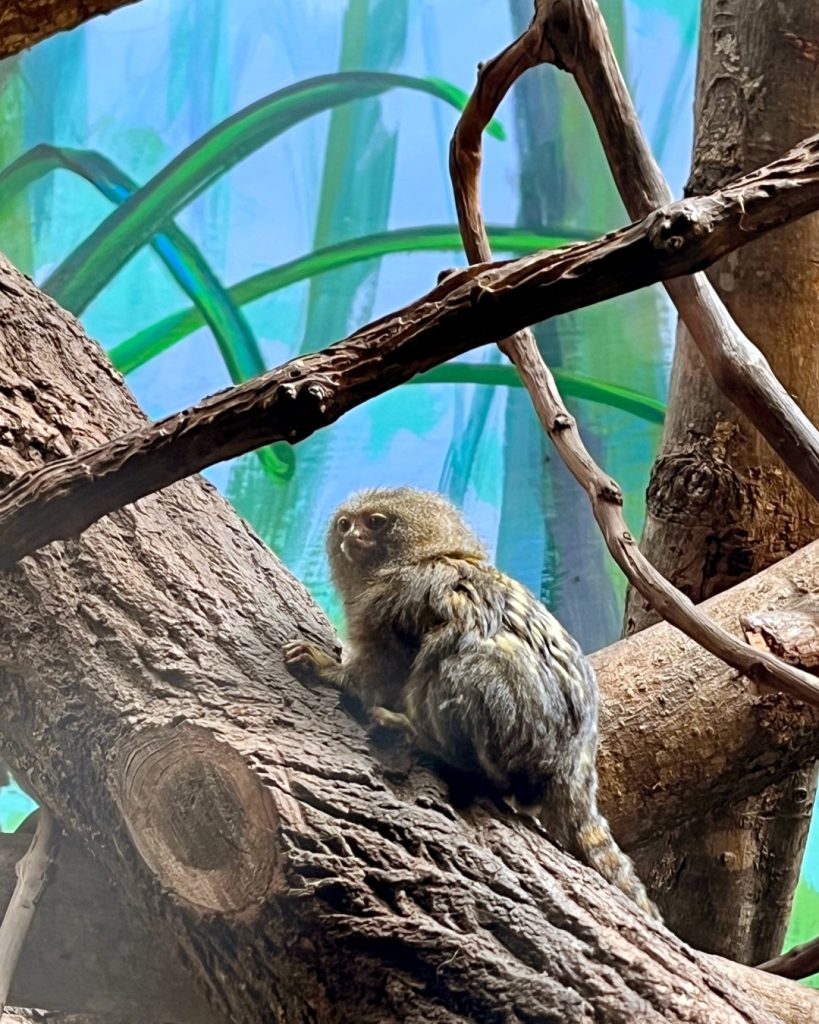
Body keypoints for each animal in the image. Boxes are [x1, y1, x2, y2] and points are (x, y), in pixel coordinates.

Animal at [283, 486, 659, 918]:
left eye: (375, 523)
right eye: (344, 524)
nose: (351, 537)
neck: (422, 556)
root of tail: (573, 766)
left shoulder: (391, 601)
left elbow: (380, 668)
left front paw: (327, 669)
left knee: (459, 667)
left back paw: (423, 739)